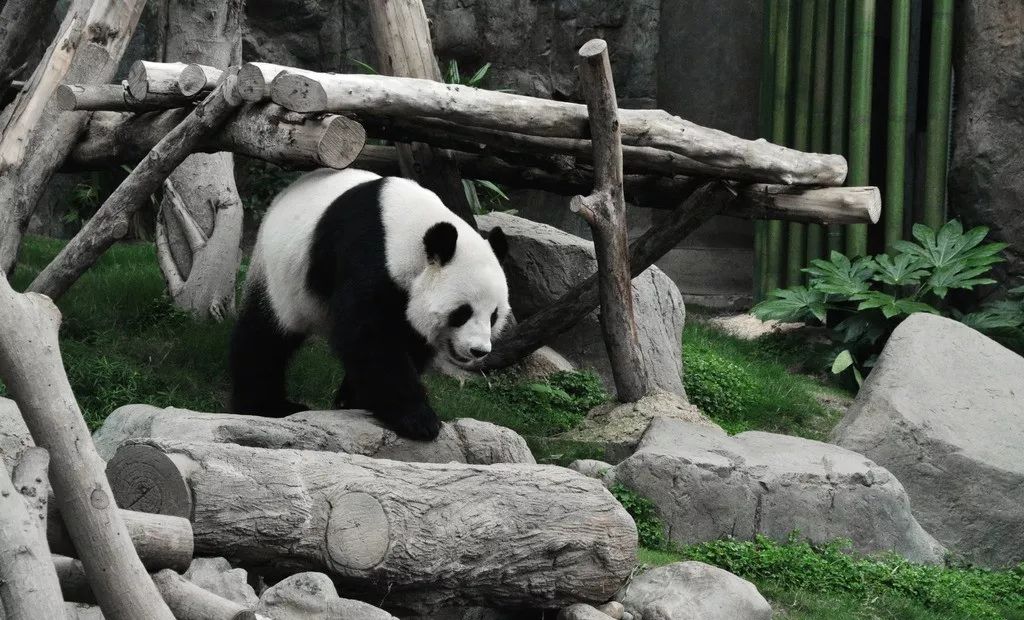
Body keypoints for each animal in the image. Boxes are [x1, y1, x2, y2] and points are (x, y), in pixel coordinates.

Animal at [229, 168, 510, 440]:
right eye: (462, 312)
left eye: (494, 316)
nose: (478, 350)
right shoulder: (366, 254)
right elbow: (369, 336)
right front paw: (419, 421)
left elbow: (407, 340)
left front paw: (355, 402)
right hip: (281, 278)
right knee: (265, 337)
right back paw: (267, 406)